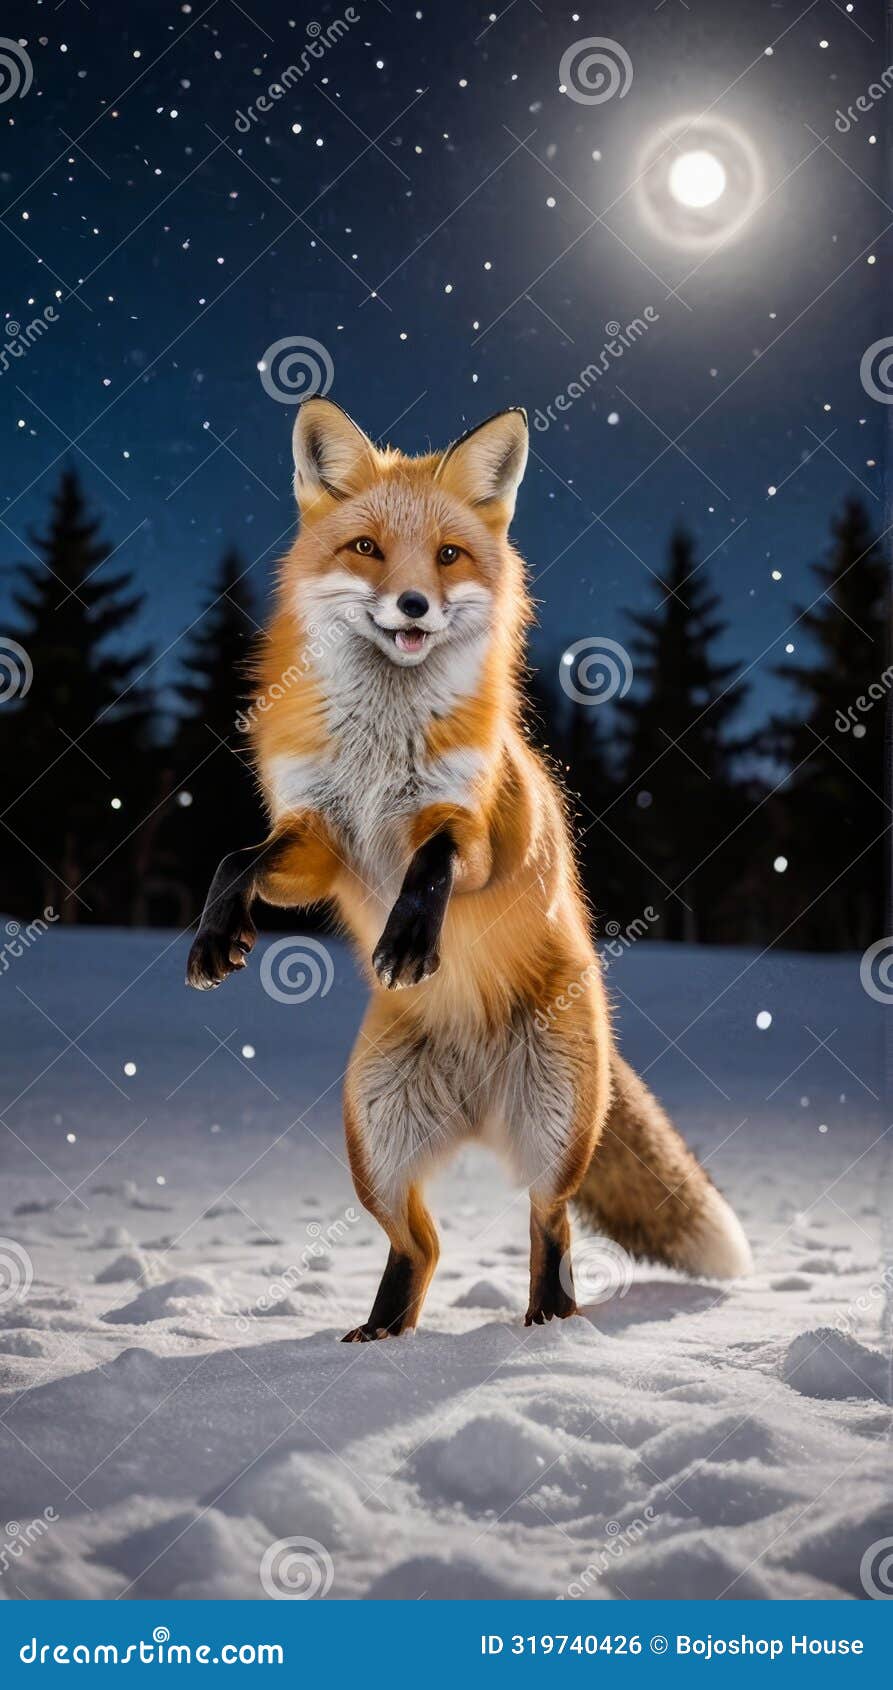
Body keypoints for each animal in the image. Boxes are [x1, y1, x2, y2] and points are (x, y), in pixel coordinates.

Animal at [186, 398, 753, 1341]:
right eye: (367, 548)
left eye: (447, 555)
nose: (414, 602)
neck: (381, 748)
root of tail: (483, 1106)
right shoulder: (317, 840)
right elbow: (240, 856)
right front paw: (214, 938)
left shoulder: (490, 825)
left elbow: (434, 856)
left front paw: (411, 940)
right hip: (374, 1144)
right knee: (422, 1246)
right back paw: (381, 1336)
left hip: (556, 1128)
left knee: (548, 1223)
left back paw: (550, 1323)